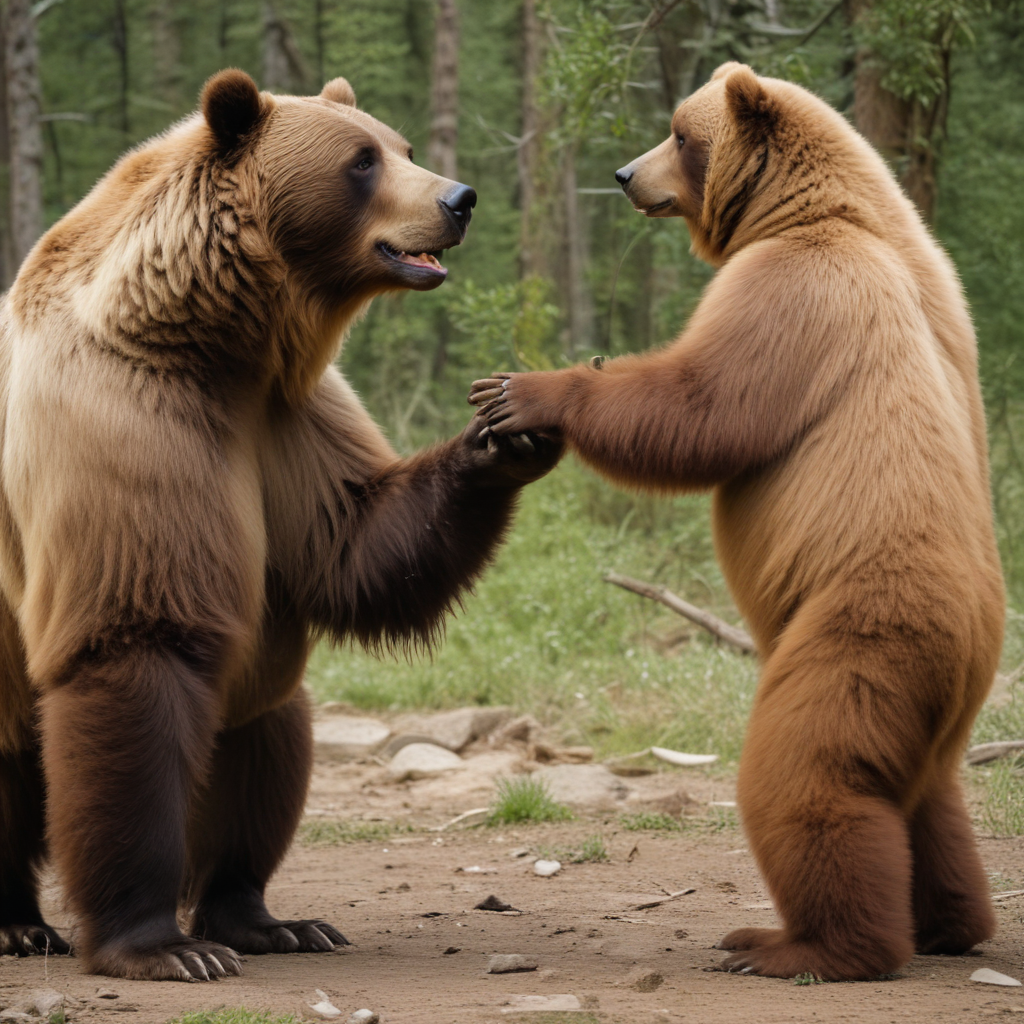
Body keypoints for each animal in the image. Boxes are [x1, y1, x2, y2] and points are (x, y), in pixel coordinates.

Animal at [0, 69, 560, 981]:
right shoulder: (126, 427)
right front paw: (160, 946)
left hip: (256, 679)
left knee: (265, 739)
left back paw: (266, 918)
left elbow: (357, 543)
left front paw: (507, 429)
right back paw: (19, 923)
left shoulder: (289, 421)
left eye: (400, 144)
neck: (215, 340)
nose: (459, 197)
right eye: (362, 161)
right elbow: (136, 643)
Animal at [470, 63, 1004, 981]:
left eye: (679, 133)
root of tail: (974, 642)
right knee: (930, 794)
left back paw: (797, 943)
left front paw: (527, 390)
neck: (816, 211)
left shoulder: (795, 288)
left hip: (858, 631)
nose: (625, 174)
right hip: (936, 697)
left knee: (803, 771)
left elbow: (704, 407)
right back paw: (951, 923)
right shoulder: (939, 282)